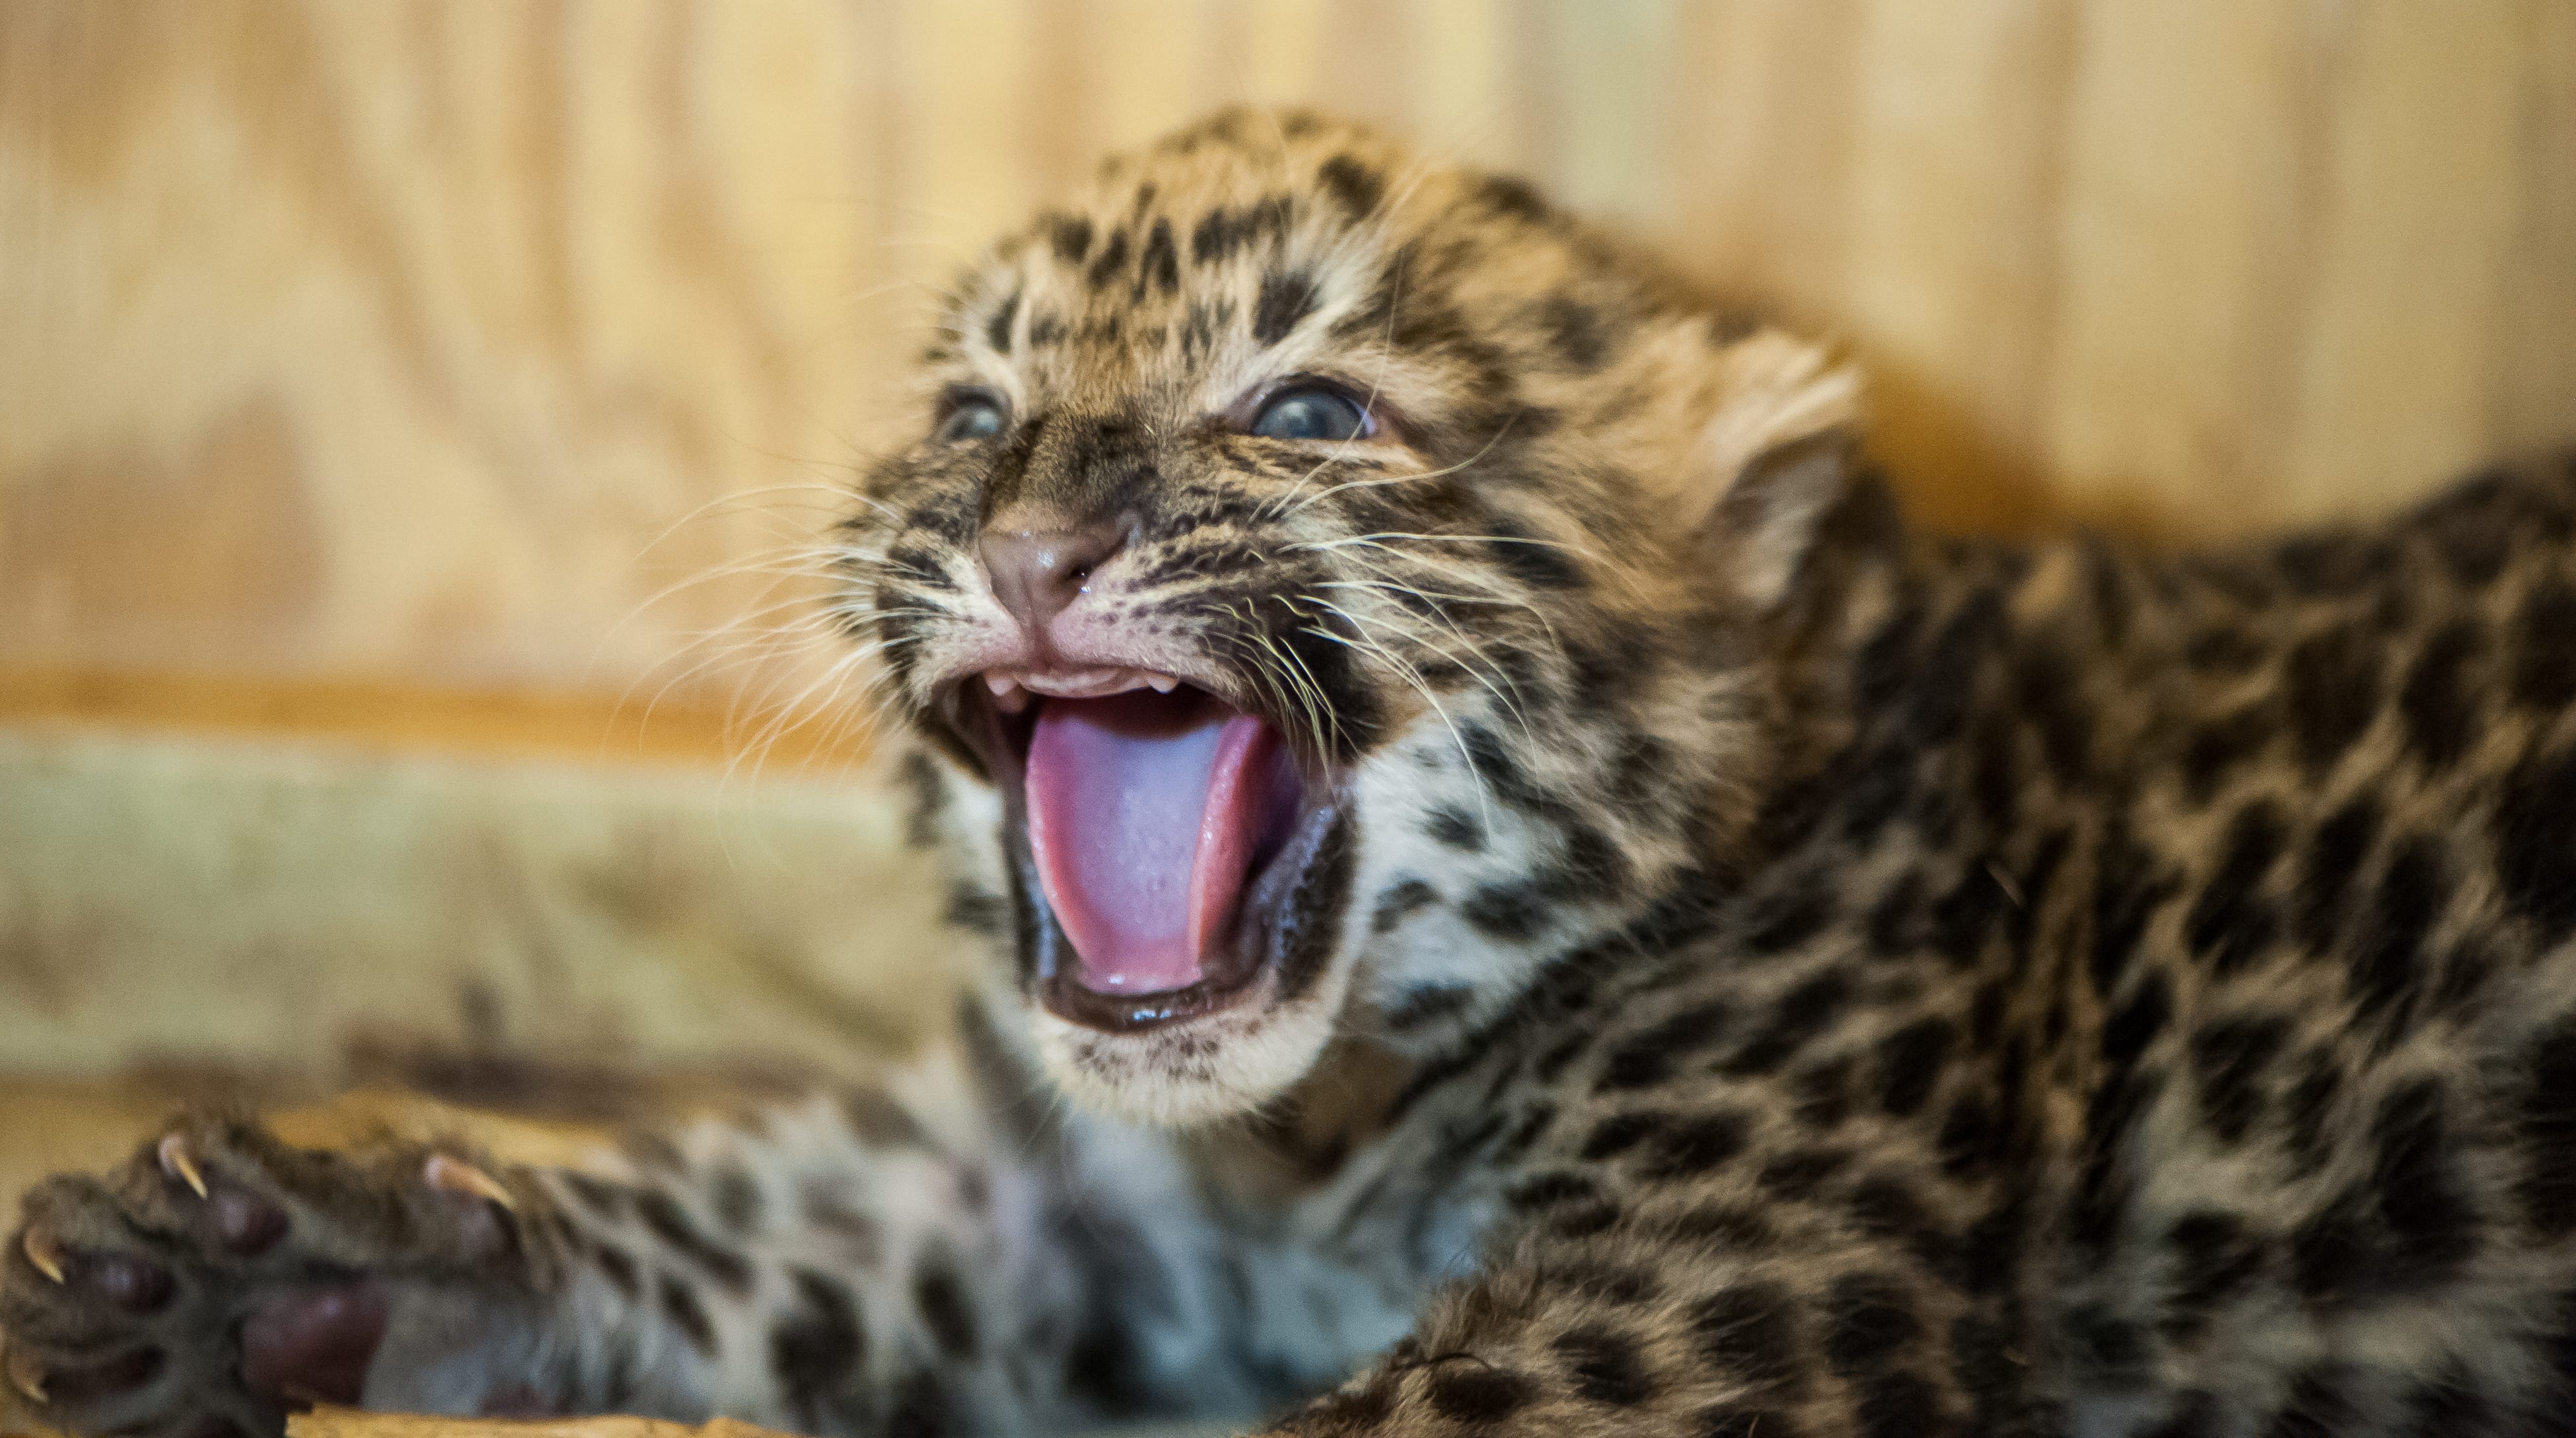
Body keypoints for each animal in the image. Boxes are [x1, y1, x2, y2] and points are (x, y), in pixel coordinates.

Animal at [10, 106, 2576, 1438]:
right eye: (974, 412)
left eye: (1311, 410)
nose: (1028, 534)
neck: (1304, 1143)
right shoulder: (1062, 1221)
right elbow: (769, 1215)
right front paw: (278, 1257)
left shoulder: (1681, 1312)